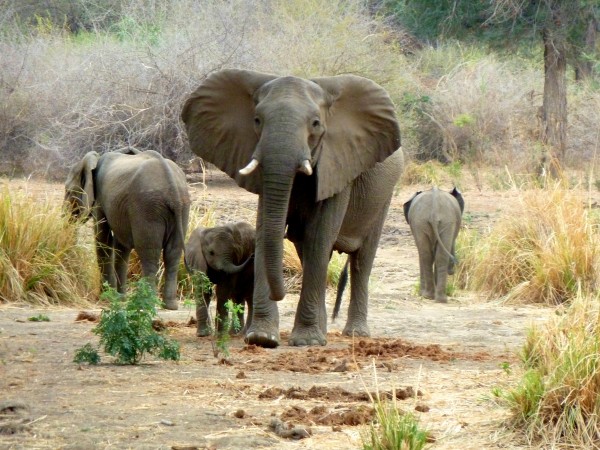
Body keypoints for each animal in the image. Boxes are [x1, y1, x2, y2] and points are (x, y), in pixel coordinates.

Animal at [63, 149, 190, 310]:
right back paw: (170, 306)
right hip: (182, 208)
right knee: (173, 253)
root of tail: (172, 186)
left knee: (149, 253)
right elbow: (121, 246)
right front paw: (120, 298)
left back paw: (147, 303)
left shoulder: (101, 200)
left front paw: (107, 297)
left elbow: (103, 239)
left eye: (68, 191)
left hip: (147, 208)